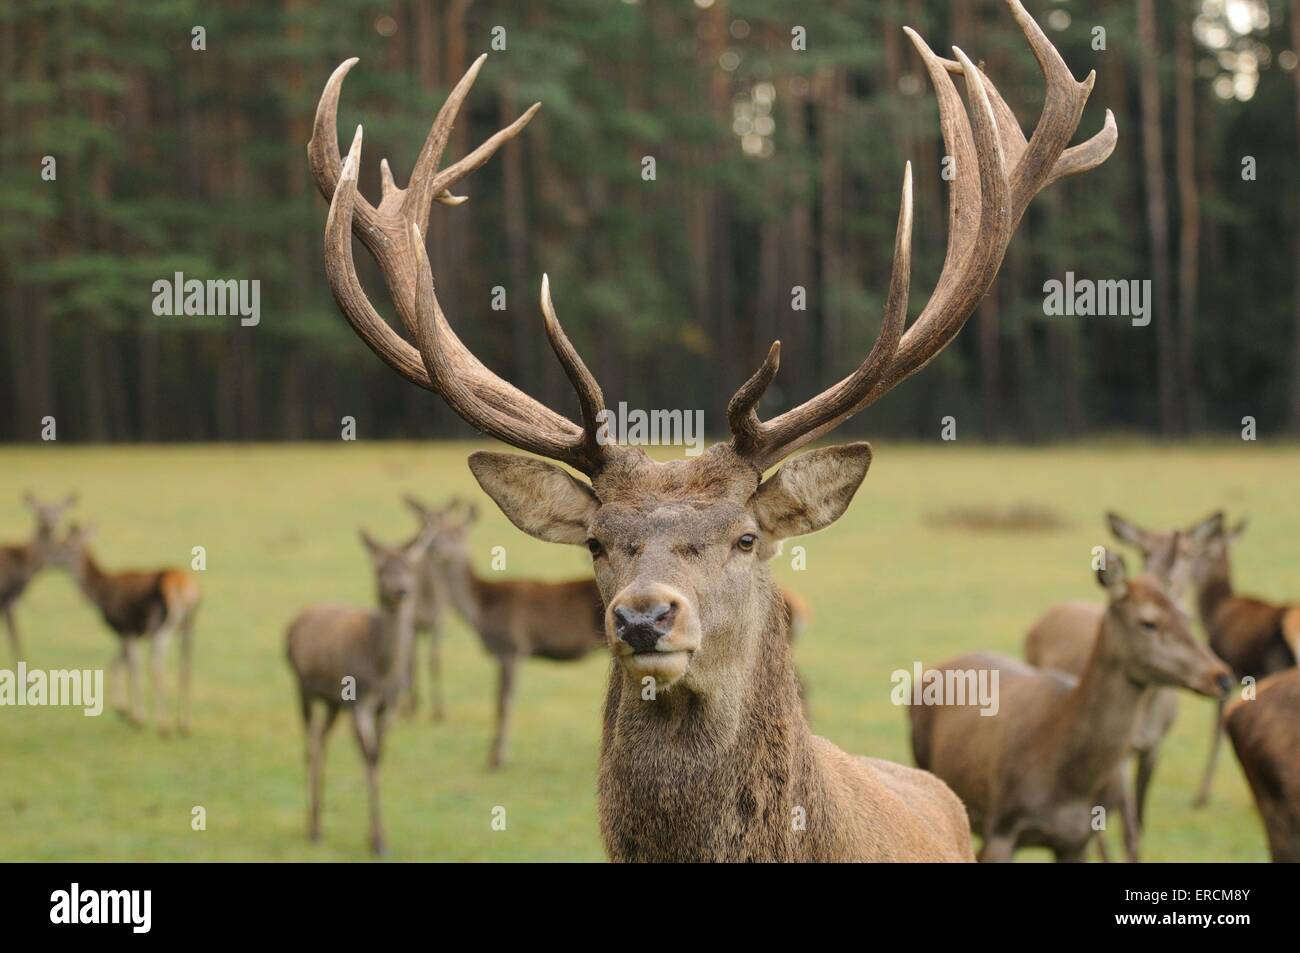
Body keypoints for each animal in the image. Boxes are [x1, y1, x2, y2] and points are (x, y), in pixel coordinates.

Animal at [46, 523, 201, 735]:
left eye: (66, 545)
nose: (49, 557)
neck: (99, 593)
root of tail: (182, 585)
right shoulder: (130, 632)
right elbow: (116, 663)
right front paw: (123, 709)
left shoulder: (124, 627)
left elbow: (131, 665)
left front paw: (135, 716)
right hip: (188, 626)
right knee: (186, 666)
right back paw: (184, 724)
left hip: (160, 625)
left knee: (156, 665)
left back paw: (163, 725)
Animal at [285, 525, 434, 855]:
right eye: (379, 568)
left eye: (410, 566)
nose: (400, 590)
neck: (380, 671)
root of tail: (292, 625)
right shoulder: (358, 702)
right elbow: (368, 756)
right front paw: (377, 840)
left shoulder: (388, 704)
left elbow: (379, 754)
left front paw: (376, 837)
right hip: (302, 687)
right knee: (309, 745)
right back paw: (311, 828)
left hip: (331, 702)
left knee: (321, 740)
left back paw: (318, 822)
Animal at [1022, 512, 1208, 861]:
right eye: (1144, 551)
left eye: (1189, 552)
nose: (1168, 587)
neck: (1148, 708)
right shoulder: (1120, 755)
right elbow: (1125, 828)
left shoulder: (1154, 747)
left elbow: (1140, 823)